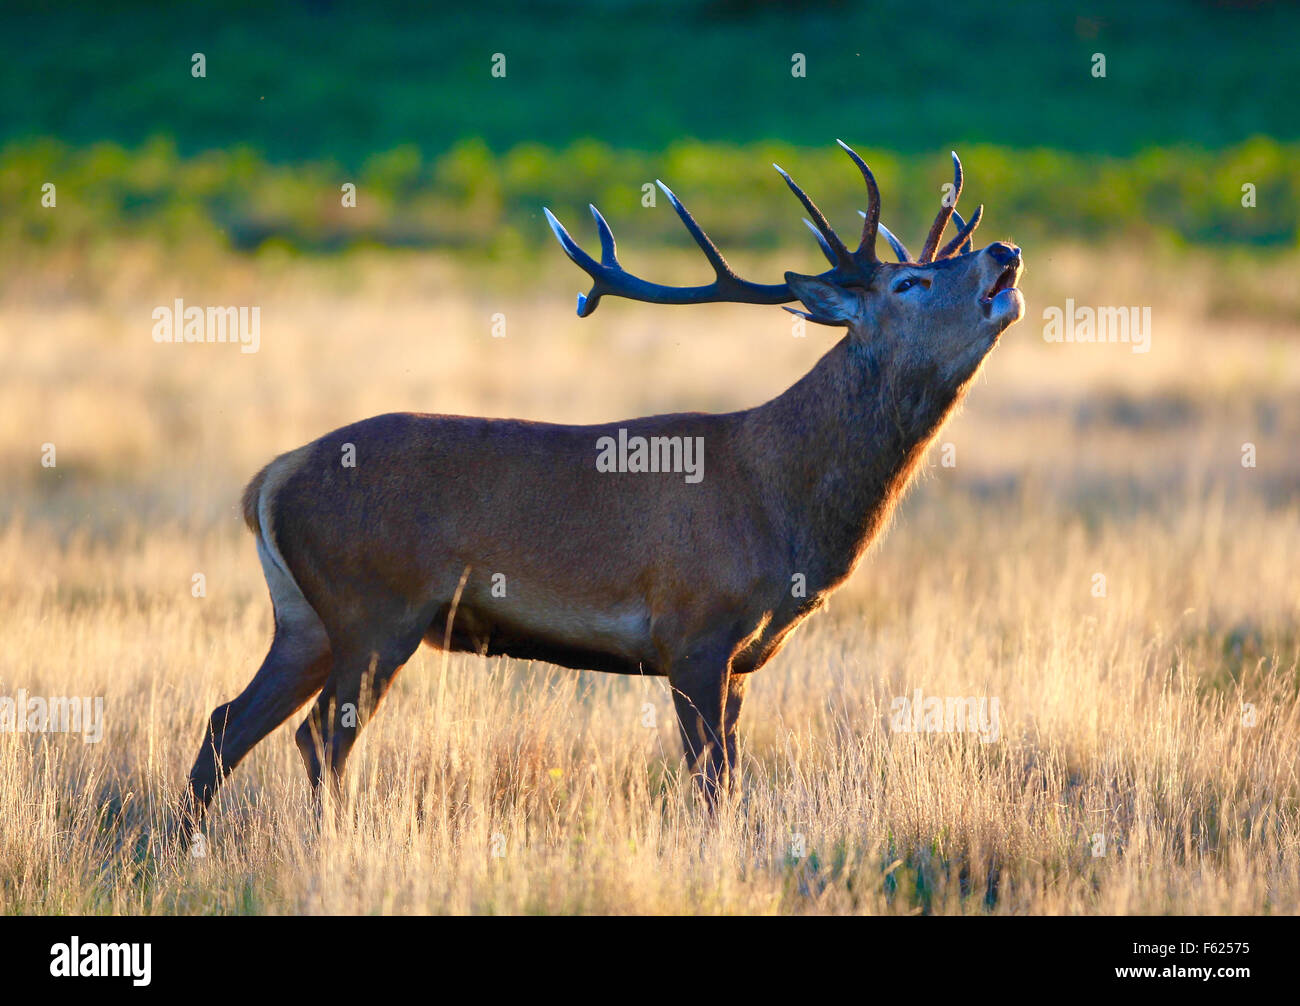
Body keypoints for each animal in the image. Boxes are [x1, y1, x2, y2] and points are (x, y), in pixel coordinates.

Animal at [178, 141, 1023, 835]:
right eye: (911, 281)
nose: (1004, 252)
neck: (785, 506)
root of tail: (269, 480)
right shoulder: (694, 627)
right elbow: (714, 786)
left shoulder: (744, 658)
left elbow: (729, 779)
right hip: (375, 606)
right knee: (319, 735)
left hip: (305, 617)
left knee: (226, 723)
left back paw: (190, 847)